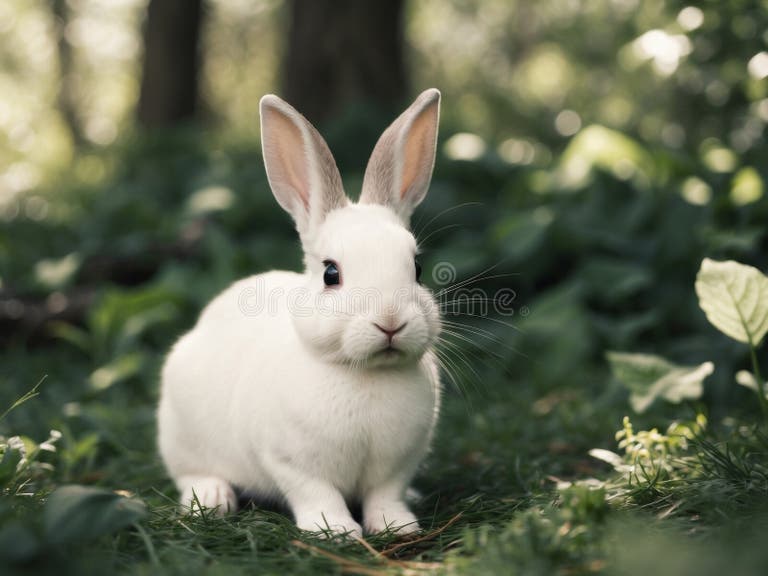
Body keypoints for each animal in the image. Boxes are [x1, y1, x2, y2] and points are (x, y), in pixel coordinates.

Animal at [157, 88, 443, 538]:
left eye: (416, 267)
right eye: (331, 273)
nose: (390, 322)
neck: (364, 374)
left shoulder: (397, 466)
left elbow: (386, 495)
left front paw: (397, 526)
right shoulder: (290, 462)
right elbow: (317, 494)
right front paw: (336, 531)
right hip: (183, 436)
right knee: (190, 474)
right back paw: (213, 500)